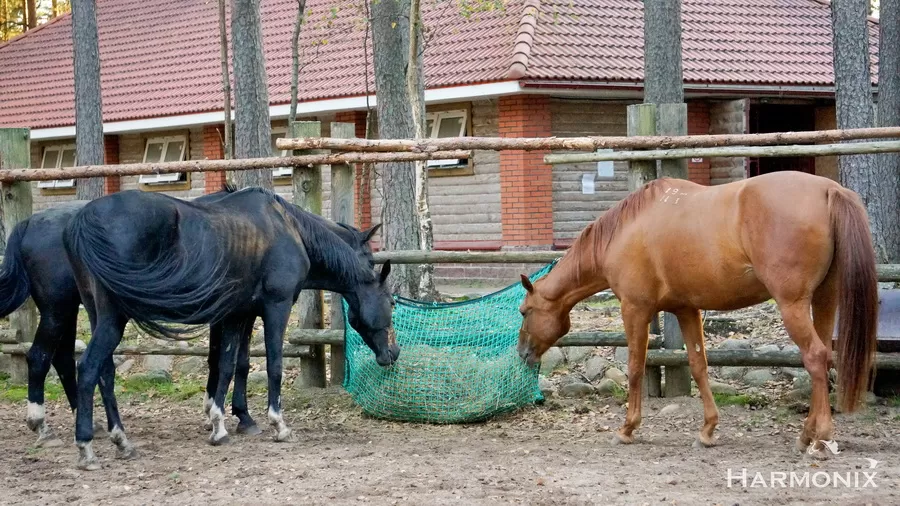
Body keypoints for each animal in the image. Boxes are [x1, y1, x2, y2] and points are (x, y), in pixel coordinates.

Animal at [516, 171, 876, 458]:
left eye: (524, 311)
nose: (522, 353)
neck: (627, 231)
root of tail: (829, 189)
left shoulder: (635, 309)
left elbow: (635, 368)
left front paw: (628, 428)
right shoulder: (686, 309)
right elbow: (698, 366)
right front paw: (707, 430)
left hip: (793, 304)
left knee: (814, 357)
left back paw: (819, 438)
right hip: (824, 300)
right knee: (824, 358)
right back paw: (807, 434)